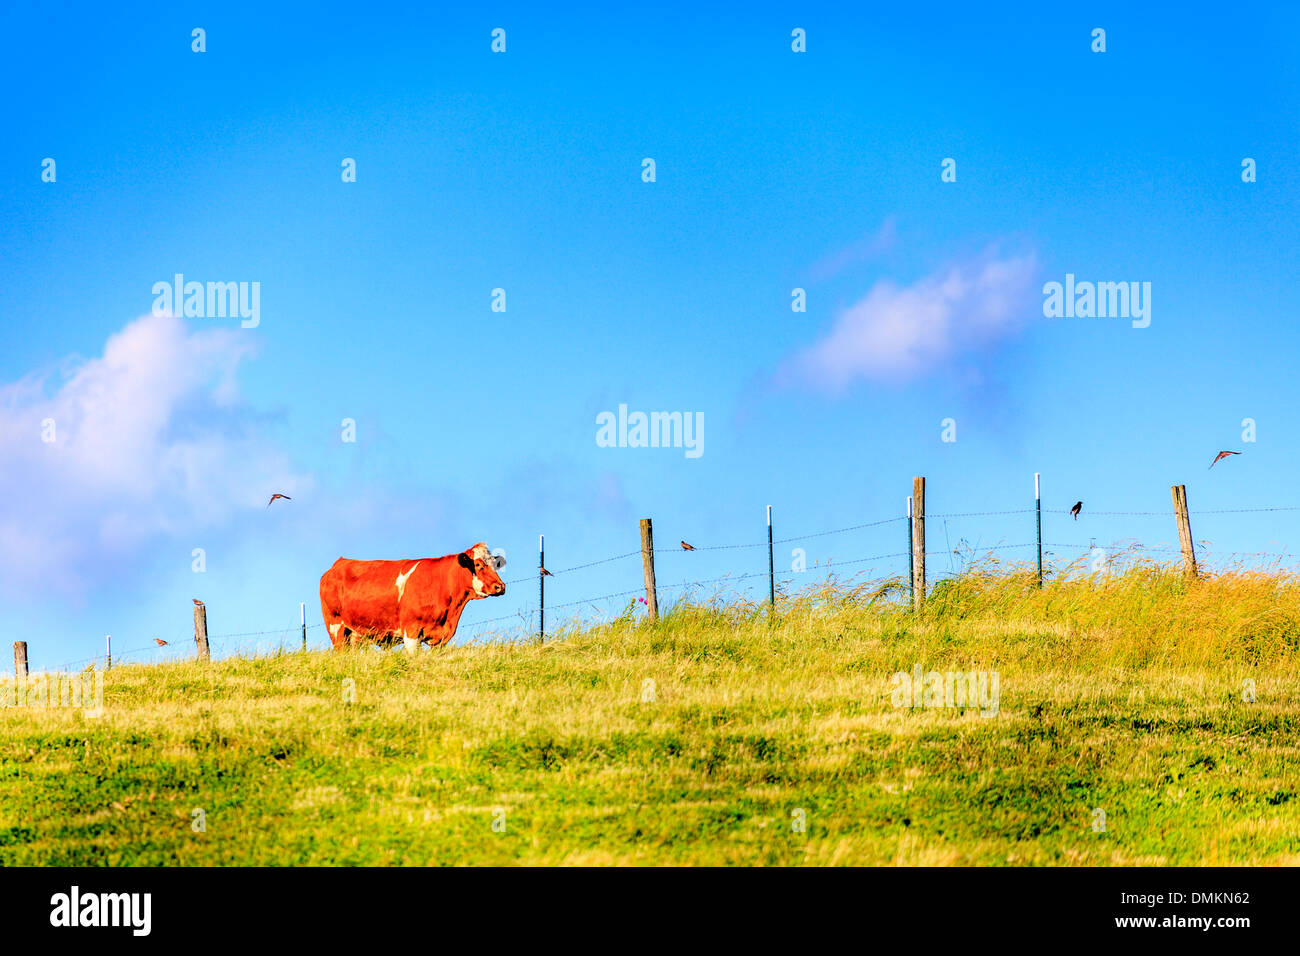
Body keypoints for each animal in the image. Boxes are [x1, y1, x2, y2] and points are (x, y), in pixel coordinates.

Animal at [319, 543, 506, 652]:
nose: (500, 586)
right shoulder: (411, 631)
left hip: (354, 634)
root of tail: (340, 562)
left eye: (495, 565)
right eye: (478, 564)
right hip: (336, 627)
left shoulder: (441, 638)